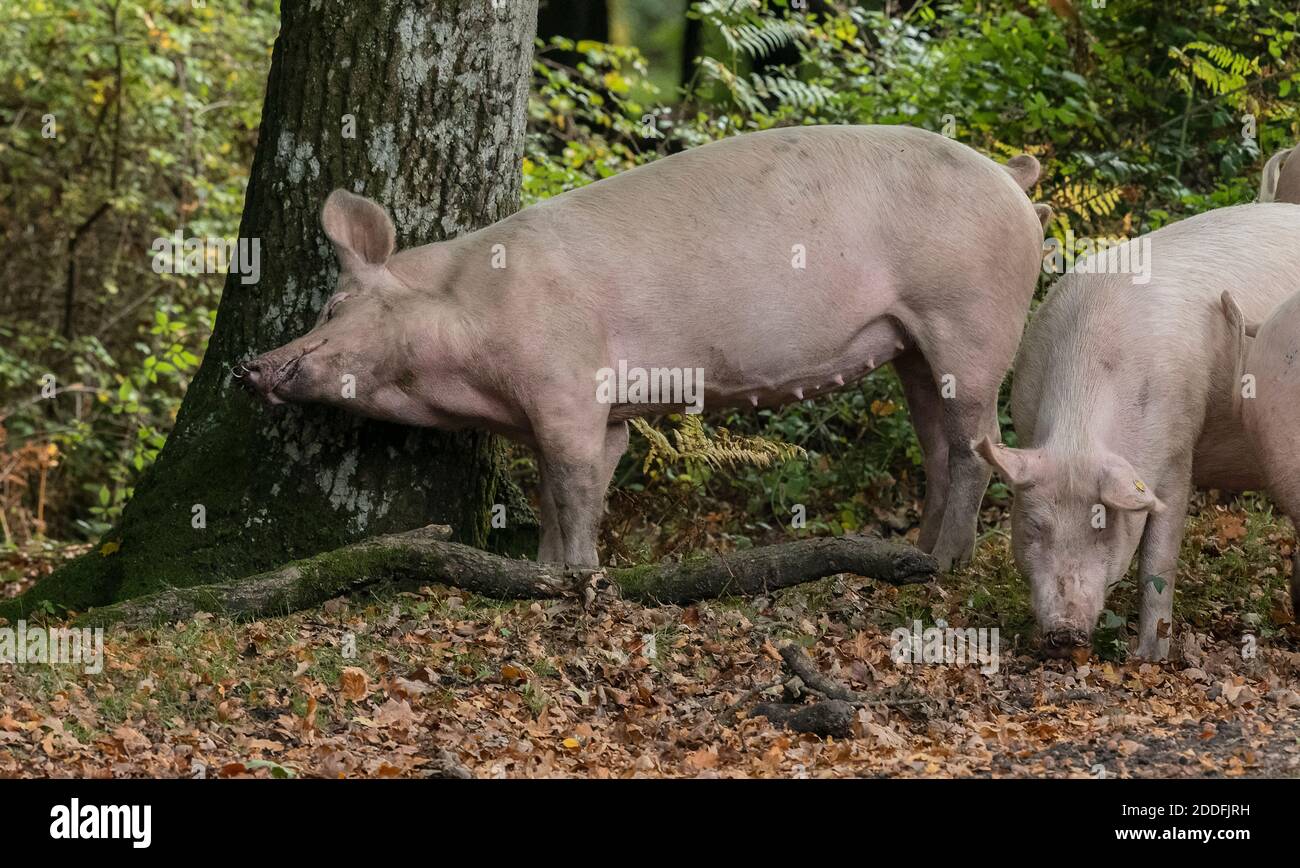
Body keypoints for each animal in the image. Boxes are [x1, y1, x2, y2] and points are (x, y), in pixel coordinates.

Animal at [235, 124, 1048, 569]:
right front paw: (546, 572)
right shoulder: (590, 414)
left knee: (976, 445)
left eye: (333, 305)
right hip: (911, 347)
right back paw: (913, 553)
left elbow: (572, 488)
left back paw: (943, 564)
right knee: (938, 443)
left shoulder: (566, 388)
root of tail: (1011, 178)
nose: (250, 364)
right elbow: (568, 490)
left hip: (971, 321)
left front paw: (578, 577)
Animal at [978, 203, 1300, 661]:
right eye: (1036, 527)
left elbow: (1158, 560)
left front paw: (1148, 657)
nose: (1065, 632)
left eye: (1103, 527)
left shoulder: (1177, 451)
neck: (1078, 435)